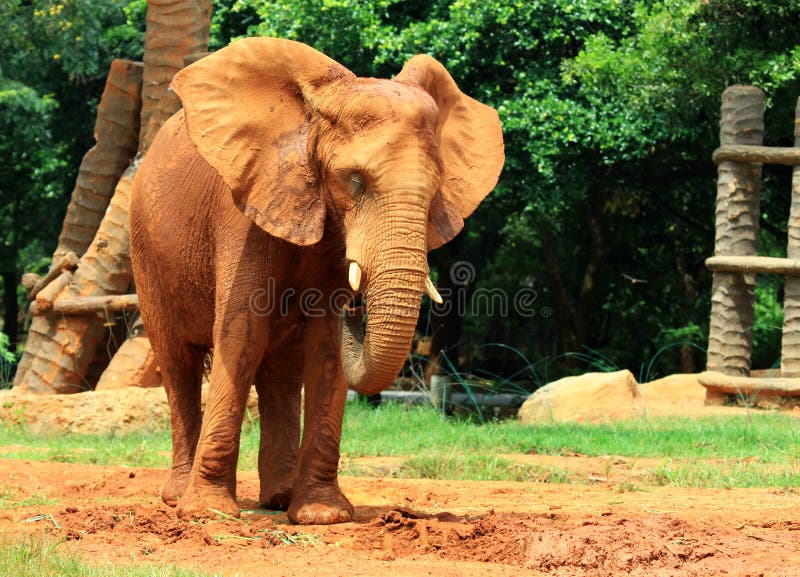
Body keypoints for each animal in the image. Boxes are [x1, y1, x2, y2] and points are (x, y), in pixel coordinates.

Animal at [129, 37, 504, 525]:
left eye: (436, 187)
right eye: (354, 181)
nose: (356, 308)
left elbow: (326, 348)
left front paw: (322, 516)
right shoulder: (245, 211)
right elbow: (243, 332)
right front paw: (210, 514)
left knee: (281, 373)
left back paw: (279, 498)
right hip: (144, 250)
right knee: (178, 361)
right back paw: (178, 498)